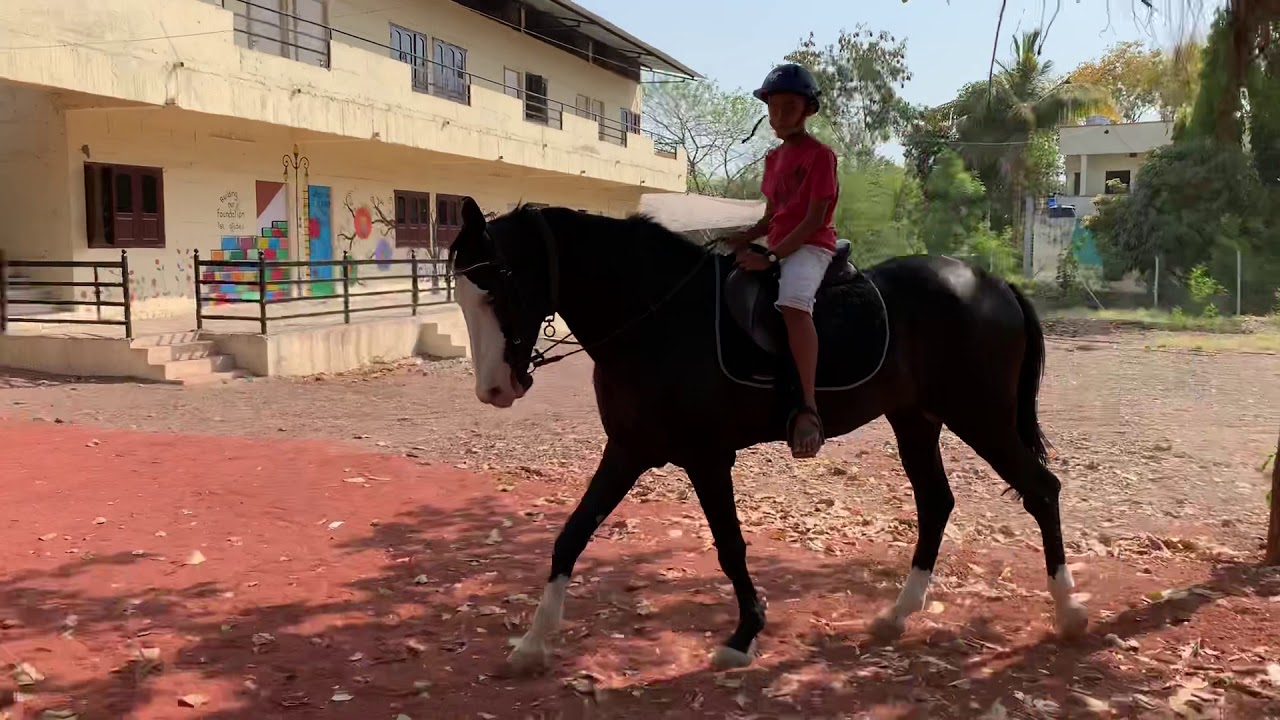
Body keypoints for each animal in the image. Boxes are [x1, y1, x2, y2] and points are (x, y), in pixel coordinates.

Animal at [448, 197, 1087, 674]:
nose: (493, 389)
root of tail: (991, 282)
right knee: (937, 502)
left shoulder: (706, 458)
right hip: (916, 419)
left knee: (1041, 490)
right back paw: (898, 614)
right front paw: (533, 644)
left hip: (980, 416)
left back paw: (1070, 614)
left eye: (498, 288)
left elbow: (730, 547)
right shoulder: (628, 450)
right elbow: (571, 536)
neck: (657, 317)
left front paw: (744, 633)